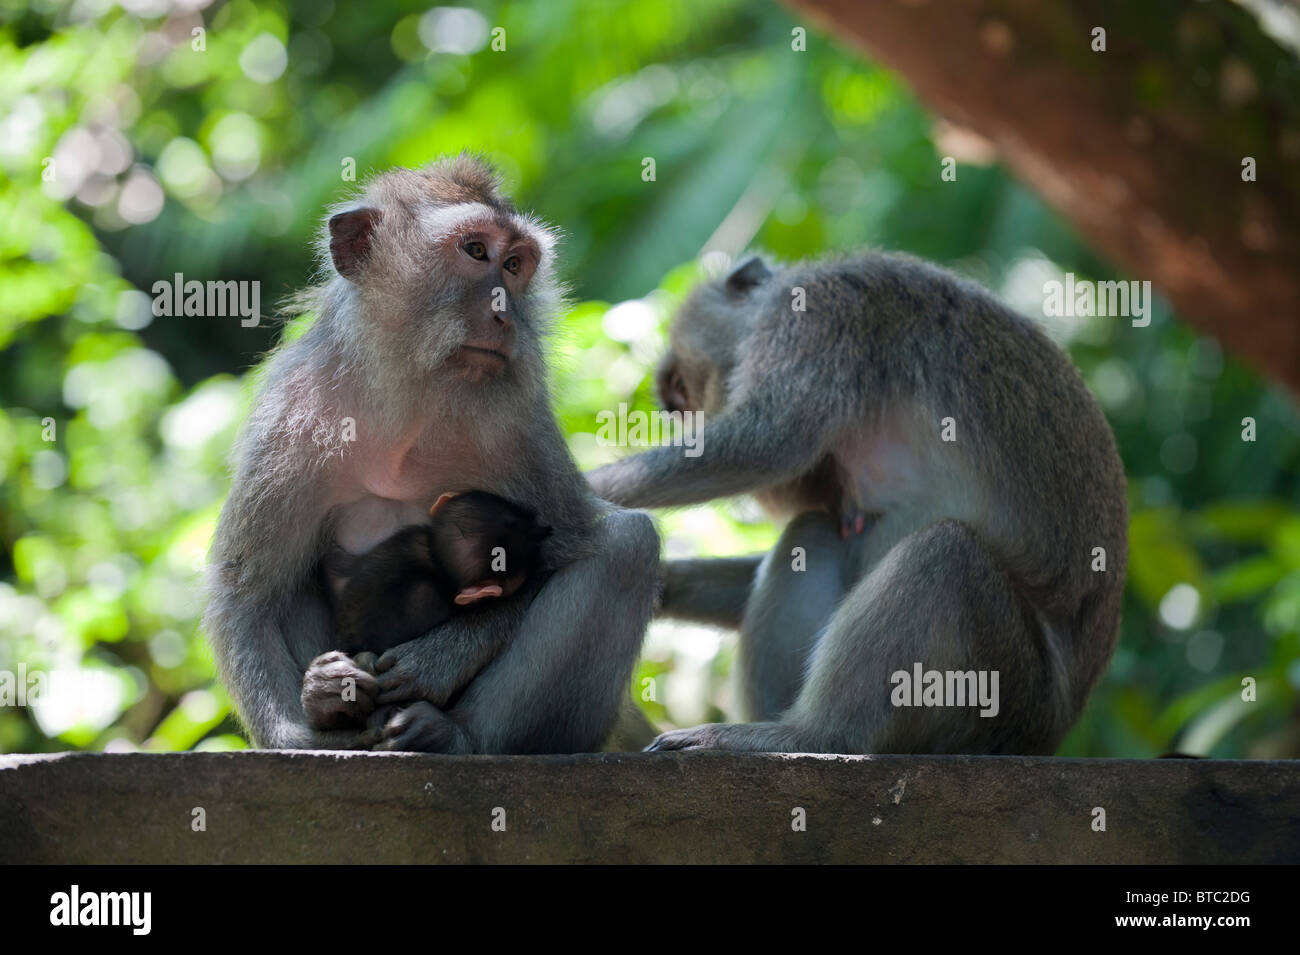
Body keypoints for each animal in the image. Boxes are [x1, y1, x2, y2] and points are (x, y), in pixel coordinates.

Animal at [587, 251, 1127, 756]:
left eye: (681, 392)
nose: (690, 419)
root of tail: (1050, 732)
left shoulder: (817, 315)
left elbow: (767, 443)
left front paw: (590, 487)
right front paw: (664, 582)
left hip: (1001, 693)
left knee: (943, 556)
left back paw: (809, 736)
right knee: (814, 531)